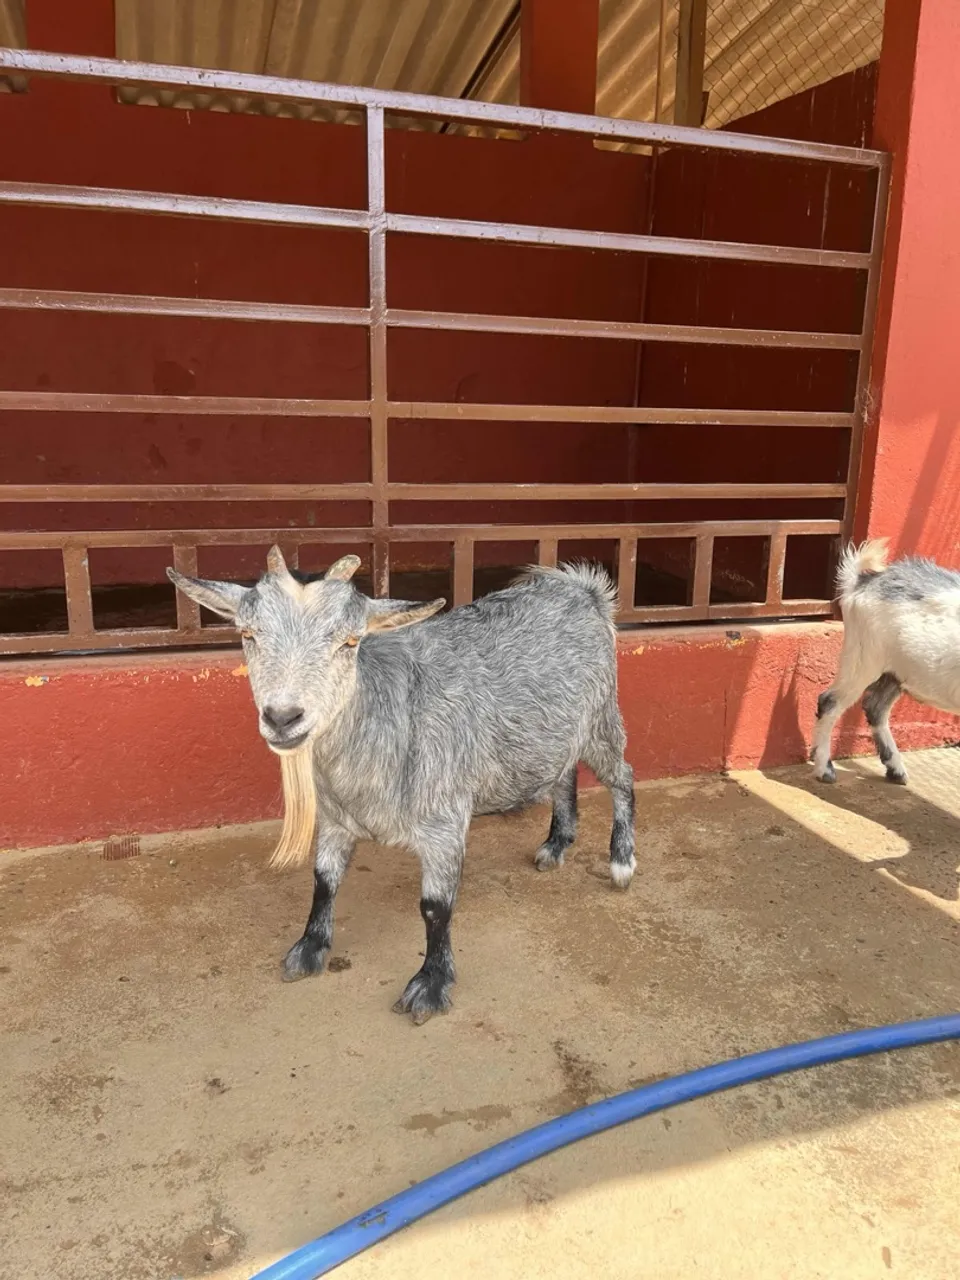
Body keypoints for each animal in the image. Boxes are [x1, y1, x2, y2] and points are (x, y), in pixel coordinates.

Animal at [168, 548, 636, 1023]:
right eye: (248, 634)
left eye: (350, 642)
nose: (283, 717)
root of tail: (580, 588)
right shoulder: (336, 818)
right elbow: (324, 880)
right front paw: (310, 947)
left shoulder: (445, 819)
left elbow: (435, 908)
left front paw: (431, 984)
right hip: (558, 732)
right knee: (564, 773)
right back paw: (557, 843)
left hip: (601, 717)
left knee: (623, 778)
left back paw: (621, 861)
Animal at [812, 539, 960, 785]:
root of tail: (862, 582)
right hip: (863, 658)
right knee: (830, 701)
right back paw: (825, 769)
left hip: (894, 672)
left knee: (875, 708)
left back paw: (895, 768)